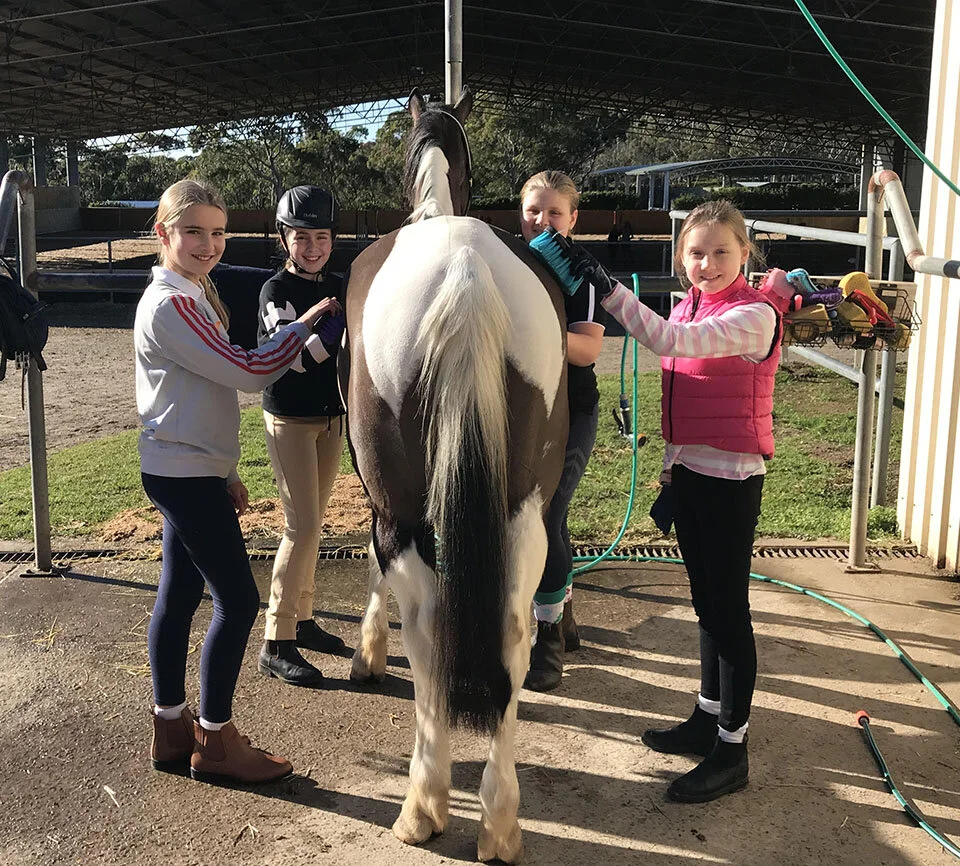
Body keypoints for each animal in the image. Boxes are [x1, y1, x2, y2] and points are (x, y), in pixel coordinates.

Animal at [338, 87, 569, 863]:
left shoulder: (382, 500)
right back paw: (499, 822)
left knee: (428, 632)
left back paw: (423, 805)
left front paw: (367, 655)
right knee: (513, 633)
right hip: (524, 509)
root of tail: (463, 271)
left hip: (406, 512)